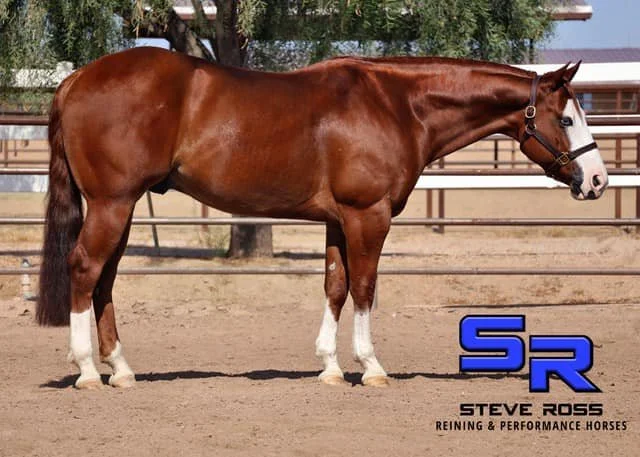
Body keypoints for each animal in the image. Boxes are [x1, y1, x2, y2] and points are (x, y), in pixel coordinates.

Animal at [36, 47, 608, 389]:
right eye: (567, 118)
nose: (599, 181)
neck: (396, 104)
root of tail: (77, 78)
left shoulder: (338, 220)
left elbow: (335, 286)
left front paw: (330, 367)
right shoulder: (368, 216)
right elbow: (365, 287)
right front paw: (371, 367)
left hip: (123, 206)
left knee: (105, 278)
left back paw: (121, 369)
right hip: (113, 203)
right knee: (85, 269)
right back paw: (87, 370)